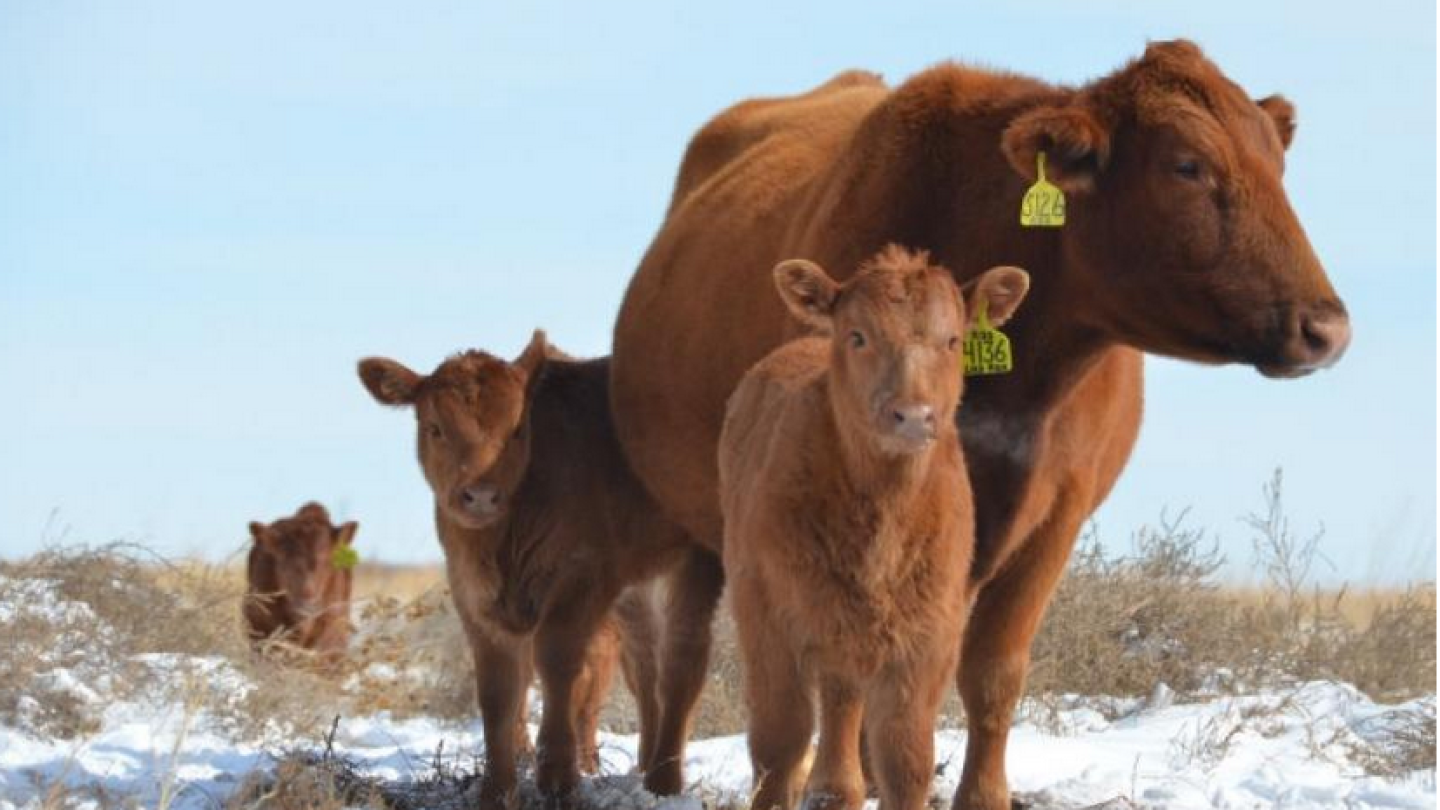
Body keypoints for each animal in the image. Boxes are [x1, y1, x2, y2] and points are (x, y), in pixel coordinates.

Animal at [358, 332, 691, 808]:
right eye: (434, 428)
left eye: (518, 429)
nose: (480, 496)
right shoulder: (473, 597)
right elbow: (499, 691)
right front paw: (497, 789)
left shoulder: (581, 580)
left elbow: (558, 666)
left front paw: (559, 777)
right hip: (636, 590)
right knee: (647, 662)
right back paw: (646, 766)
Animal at [721, 247, 1029, 810]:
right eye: (858, 336)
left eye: (953, 341)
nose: (913, 415)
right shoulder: (765, 613)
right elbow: (779, 740)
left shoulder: (930, 633)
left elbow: (906, 758)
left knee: (844, 704)